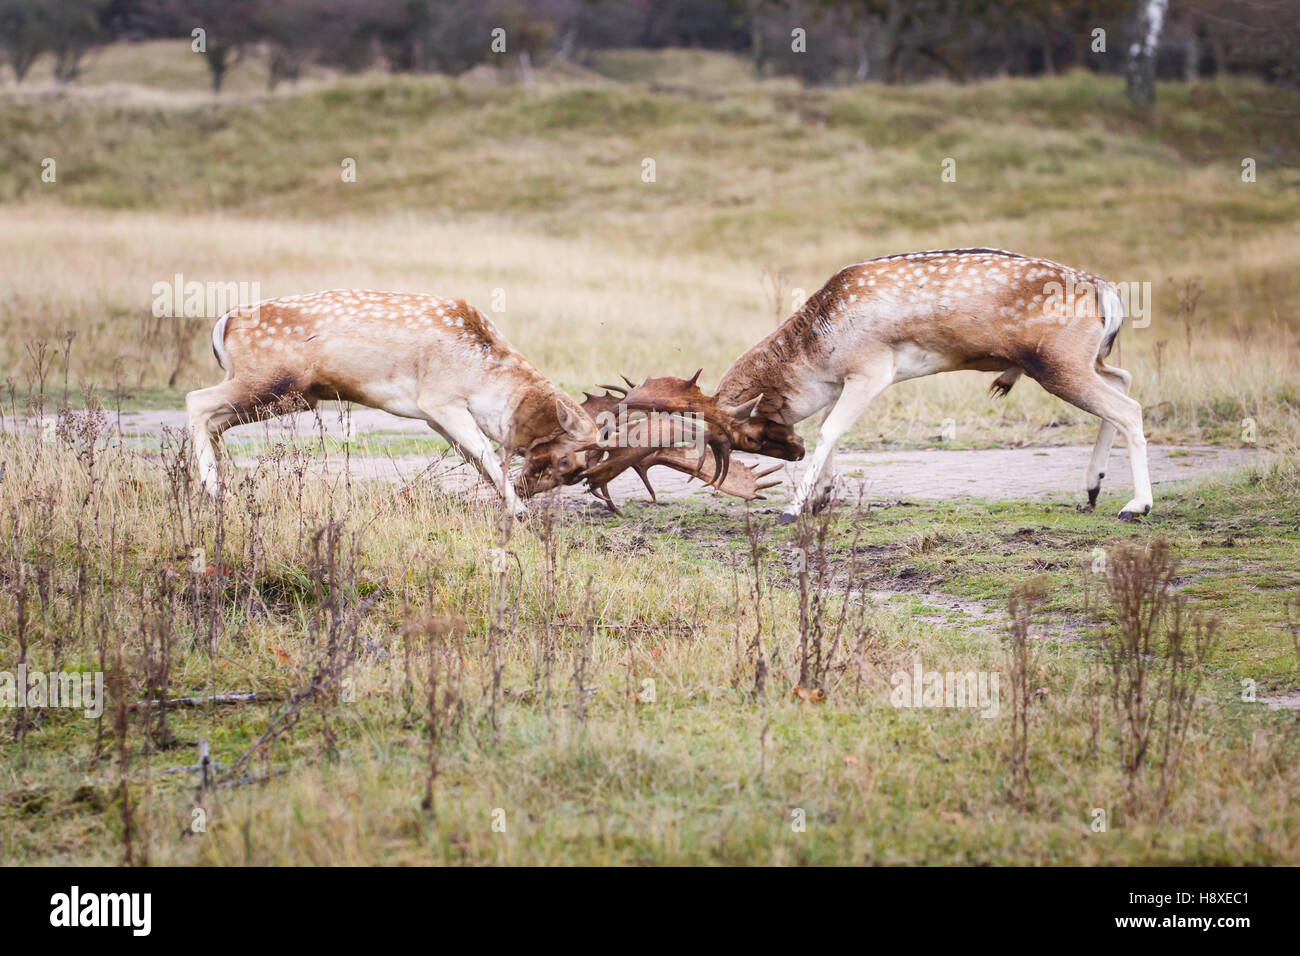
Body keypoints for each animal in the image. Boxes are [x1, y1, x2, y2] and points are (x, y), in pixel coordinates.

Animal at [185, 290, 776, 514]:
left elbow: (473, 455)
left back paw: (219, 487)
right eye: (569, 462)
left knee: (212, 416)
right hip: (271, 380)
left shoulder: (436, 418)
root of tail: (224, 322)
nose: (532, 489)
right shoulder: (439, 400)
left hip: (288, 397)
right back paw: (212, 490)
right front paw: (515, 509)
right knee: (195, 399)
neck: (483, 369)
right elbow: (488, 453)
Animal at [607, 248, 1152, 524]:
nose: (791, 453)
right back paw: (1092, 488)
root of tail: (1106, 290)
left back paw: (1135, 505)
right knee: (1123, 381)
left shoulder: (872, 370)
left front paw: (793, 509)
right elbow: (830, 430)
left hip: (1057, 363)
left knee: (1129, 408)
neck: (819, 348)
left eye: (742, 436)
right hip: (1084, 358)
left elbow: (831, 430)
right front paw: (821, 497)